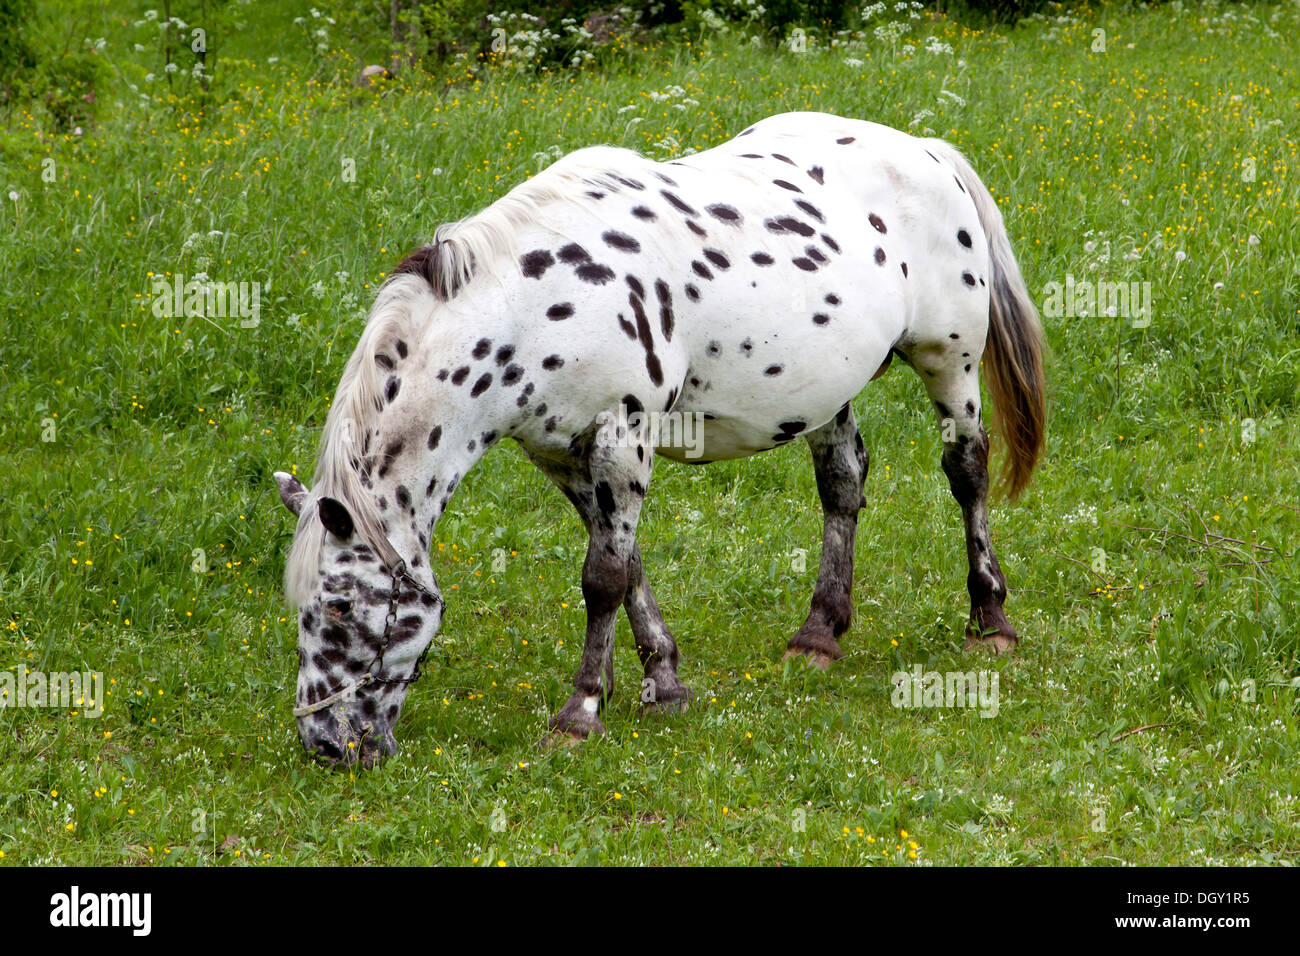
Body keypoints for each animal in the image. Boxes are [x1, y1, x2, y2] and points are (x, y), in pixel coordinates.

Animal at [274, 111, 1046, 767]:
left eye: (339, 606)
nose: (326, 743)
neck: (531, 305)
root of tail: (927, 150)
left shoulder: (623, 436)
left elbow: (603, 578)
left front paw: (581, 712)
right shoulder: (563, 455)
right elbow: (627, 565)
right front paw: (662, 682)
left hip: (950, 362)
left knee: (967, 470)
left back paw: (990, 620)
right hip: (829, 389)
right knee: (843, 484)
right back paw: (818, 634)